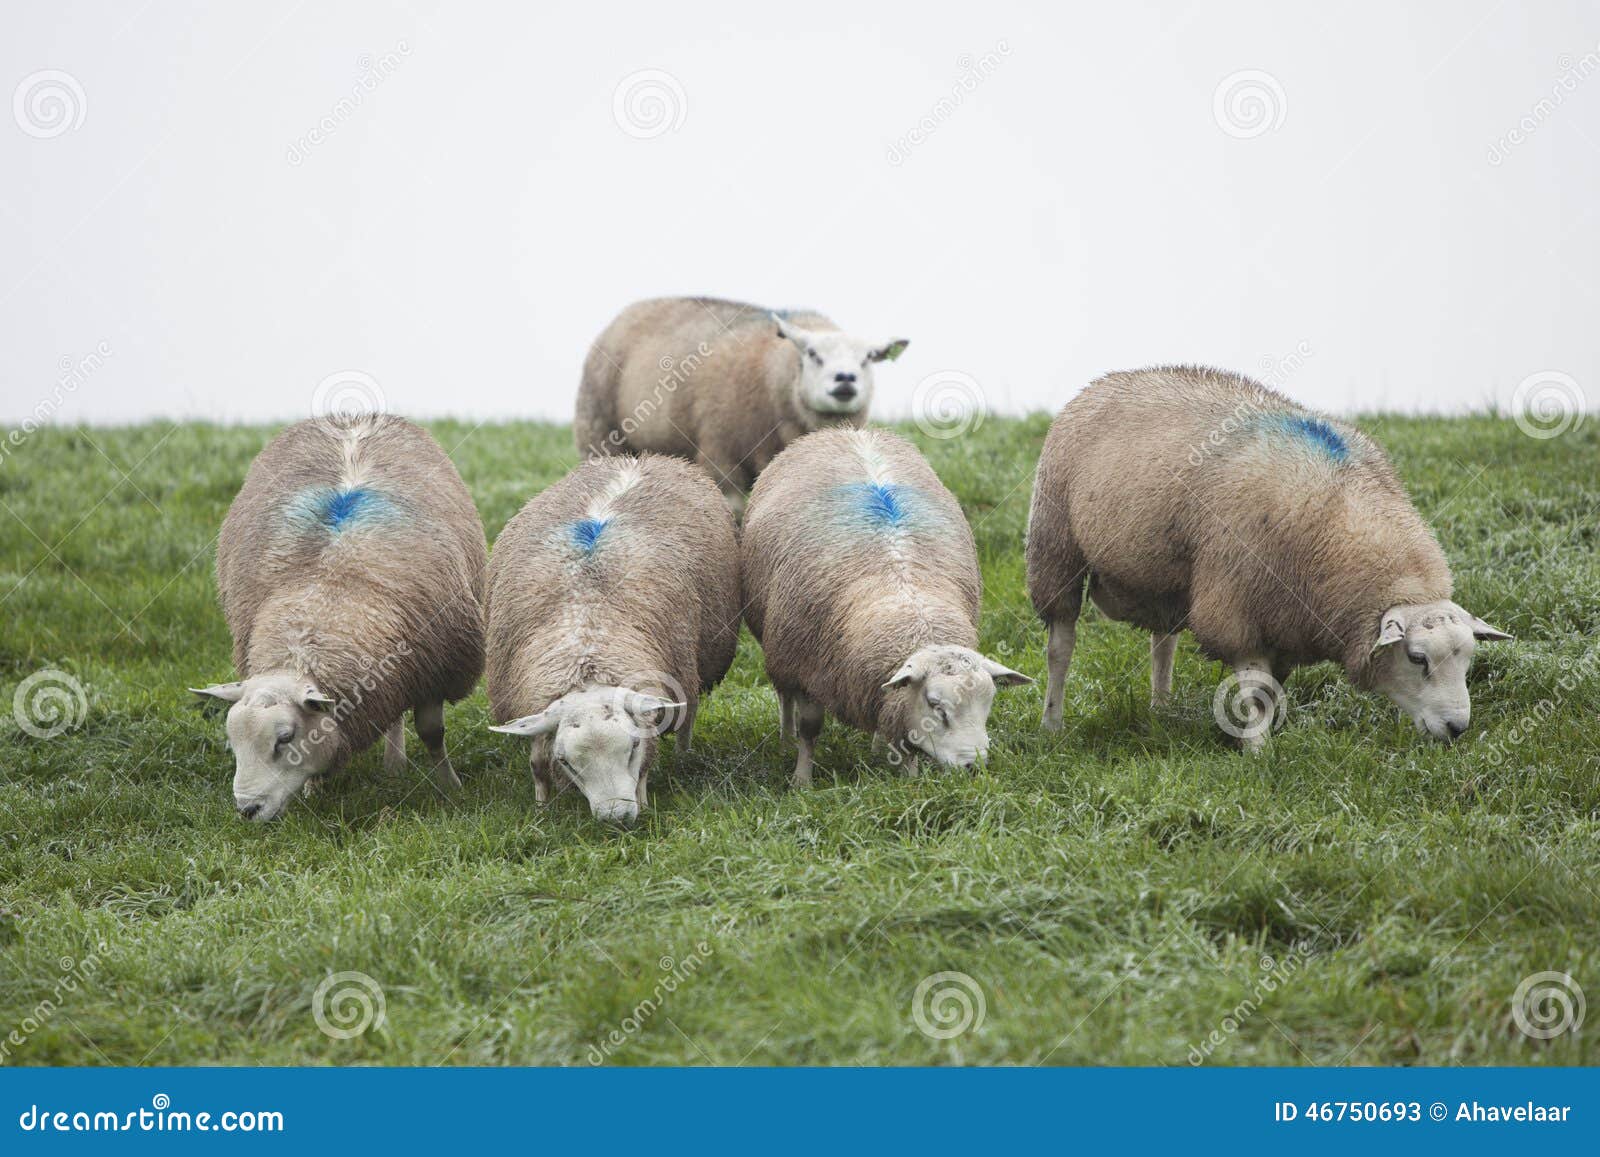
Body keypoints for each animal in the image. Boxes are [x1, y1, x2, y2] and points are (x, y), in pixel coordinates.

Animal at [193, 415, 487, 819]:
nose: (248, 809)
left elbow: (432, 733)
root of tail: (352, 417)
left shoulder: (438, 666)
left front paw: (450, 786)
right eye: (232, 740)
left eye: (285, 738)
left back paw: (395, 764)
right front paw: (313, 788)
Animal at [484, 454, 741, 823]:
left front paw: (645, 800)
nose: (616, 817)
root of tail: (637, 459)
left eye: (632, 746)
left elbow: (648, 761)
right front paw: (542, 808)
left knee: (687, 721)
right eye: (566, 761)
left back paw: (684, 757)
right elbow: (536, 763)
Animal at [741, 427, 1030, 785]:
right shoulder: (804, 665)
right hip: (779, 651)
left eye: (988, 705)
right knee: (784, 697)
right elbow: (810, 729)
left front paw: (910, 779)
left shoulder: (894, 695)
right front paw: (801, 781)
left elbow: (905, 739)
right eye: (936, 706)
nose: (973, 766)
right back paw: (785, 740)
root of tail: (848, 431)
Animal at [1025, 365, 1511, 749]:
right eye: (1417, 658)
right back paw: (1052, 724)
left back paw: (1160, 711)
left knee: (1163, 644)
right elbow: (1253, 691)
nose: (1457, 728)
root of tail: (1104, 382)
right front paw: (1259, 755)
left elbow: (1270, 691)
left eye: (1468, 659)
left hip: (1169, 578)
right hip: (1055, 546)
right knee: (1060, 646)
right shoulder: (1236, 609)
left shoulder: (1288, 621)